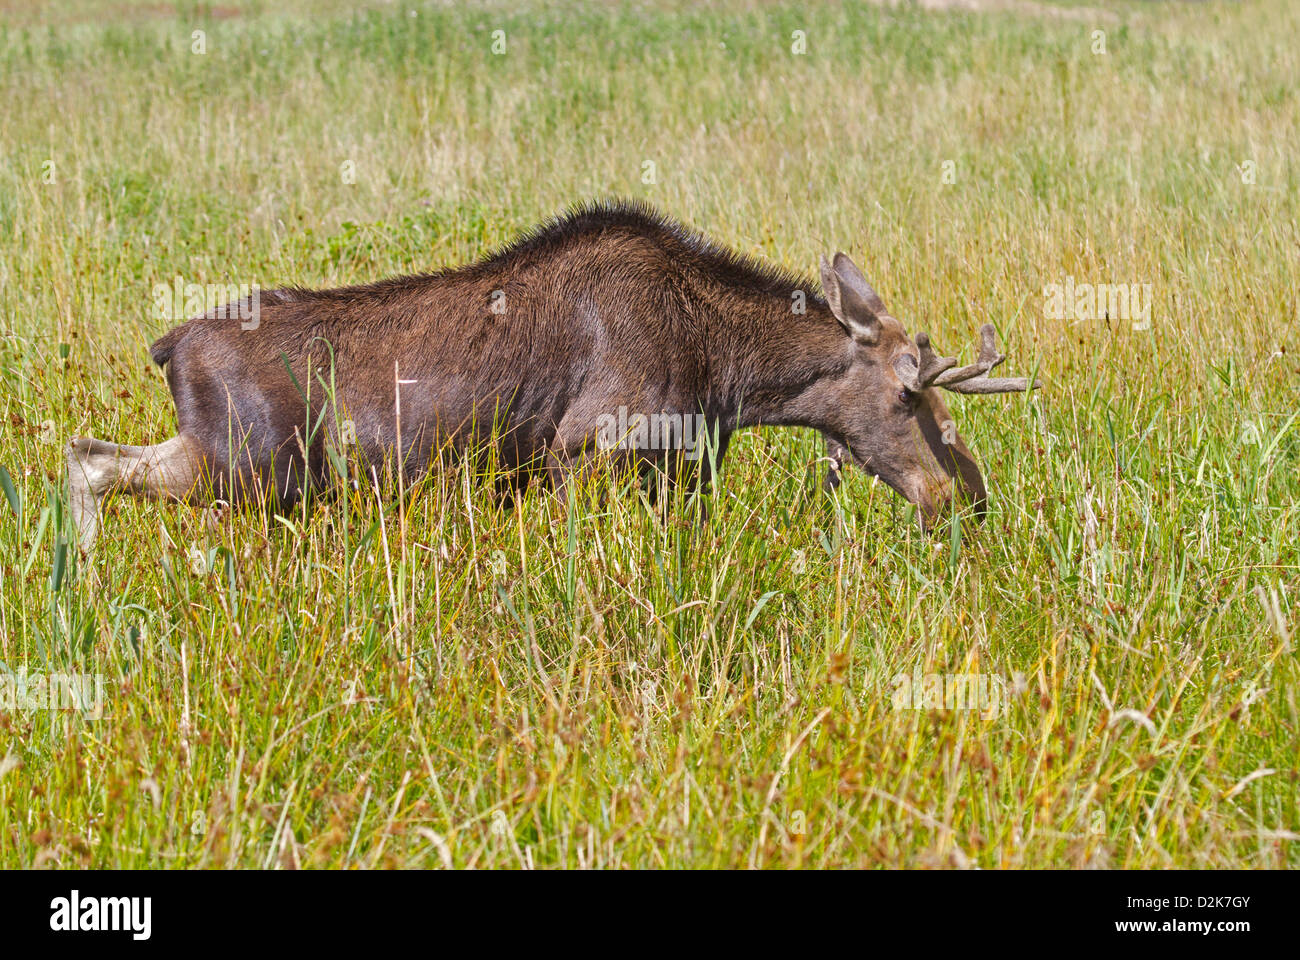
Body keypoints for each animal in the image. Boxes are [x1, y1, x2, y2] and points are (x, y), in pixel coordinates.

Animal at [67, 200, 1039, 555]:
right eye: (909, 389)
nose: (960, 498)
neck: (732, 379)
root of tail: (167, 345)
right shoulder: (583, 450)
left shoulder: (678, 468)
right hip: (249, 474)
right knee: (97, 466)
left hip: (223, 465)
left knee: (90, 454)